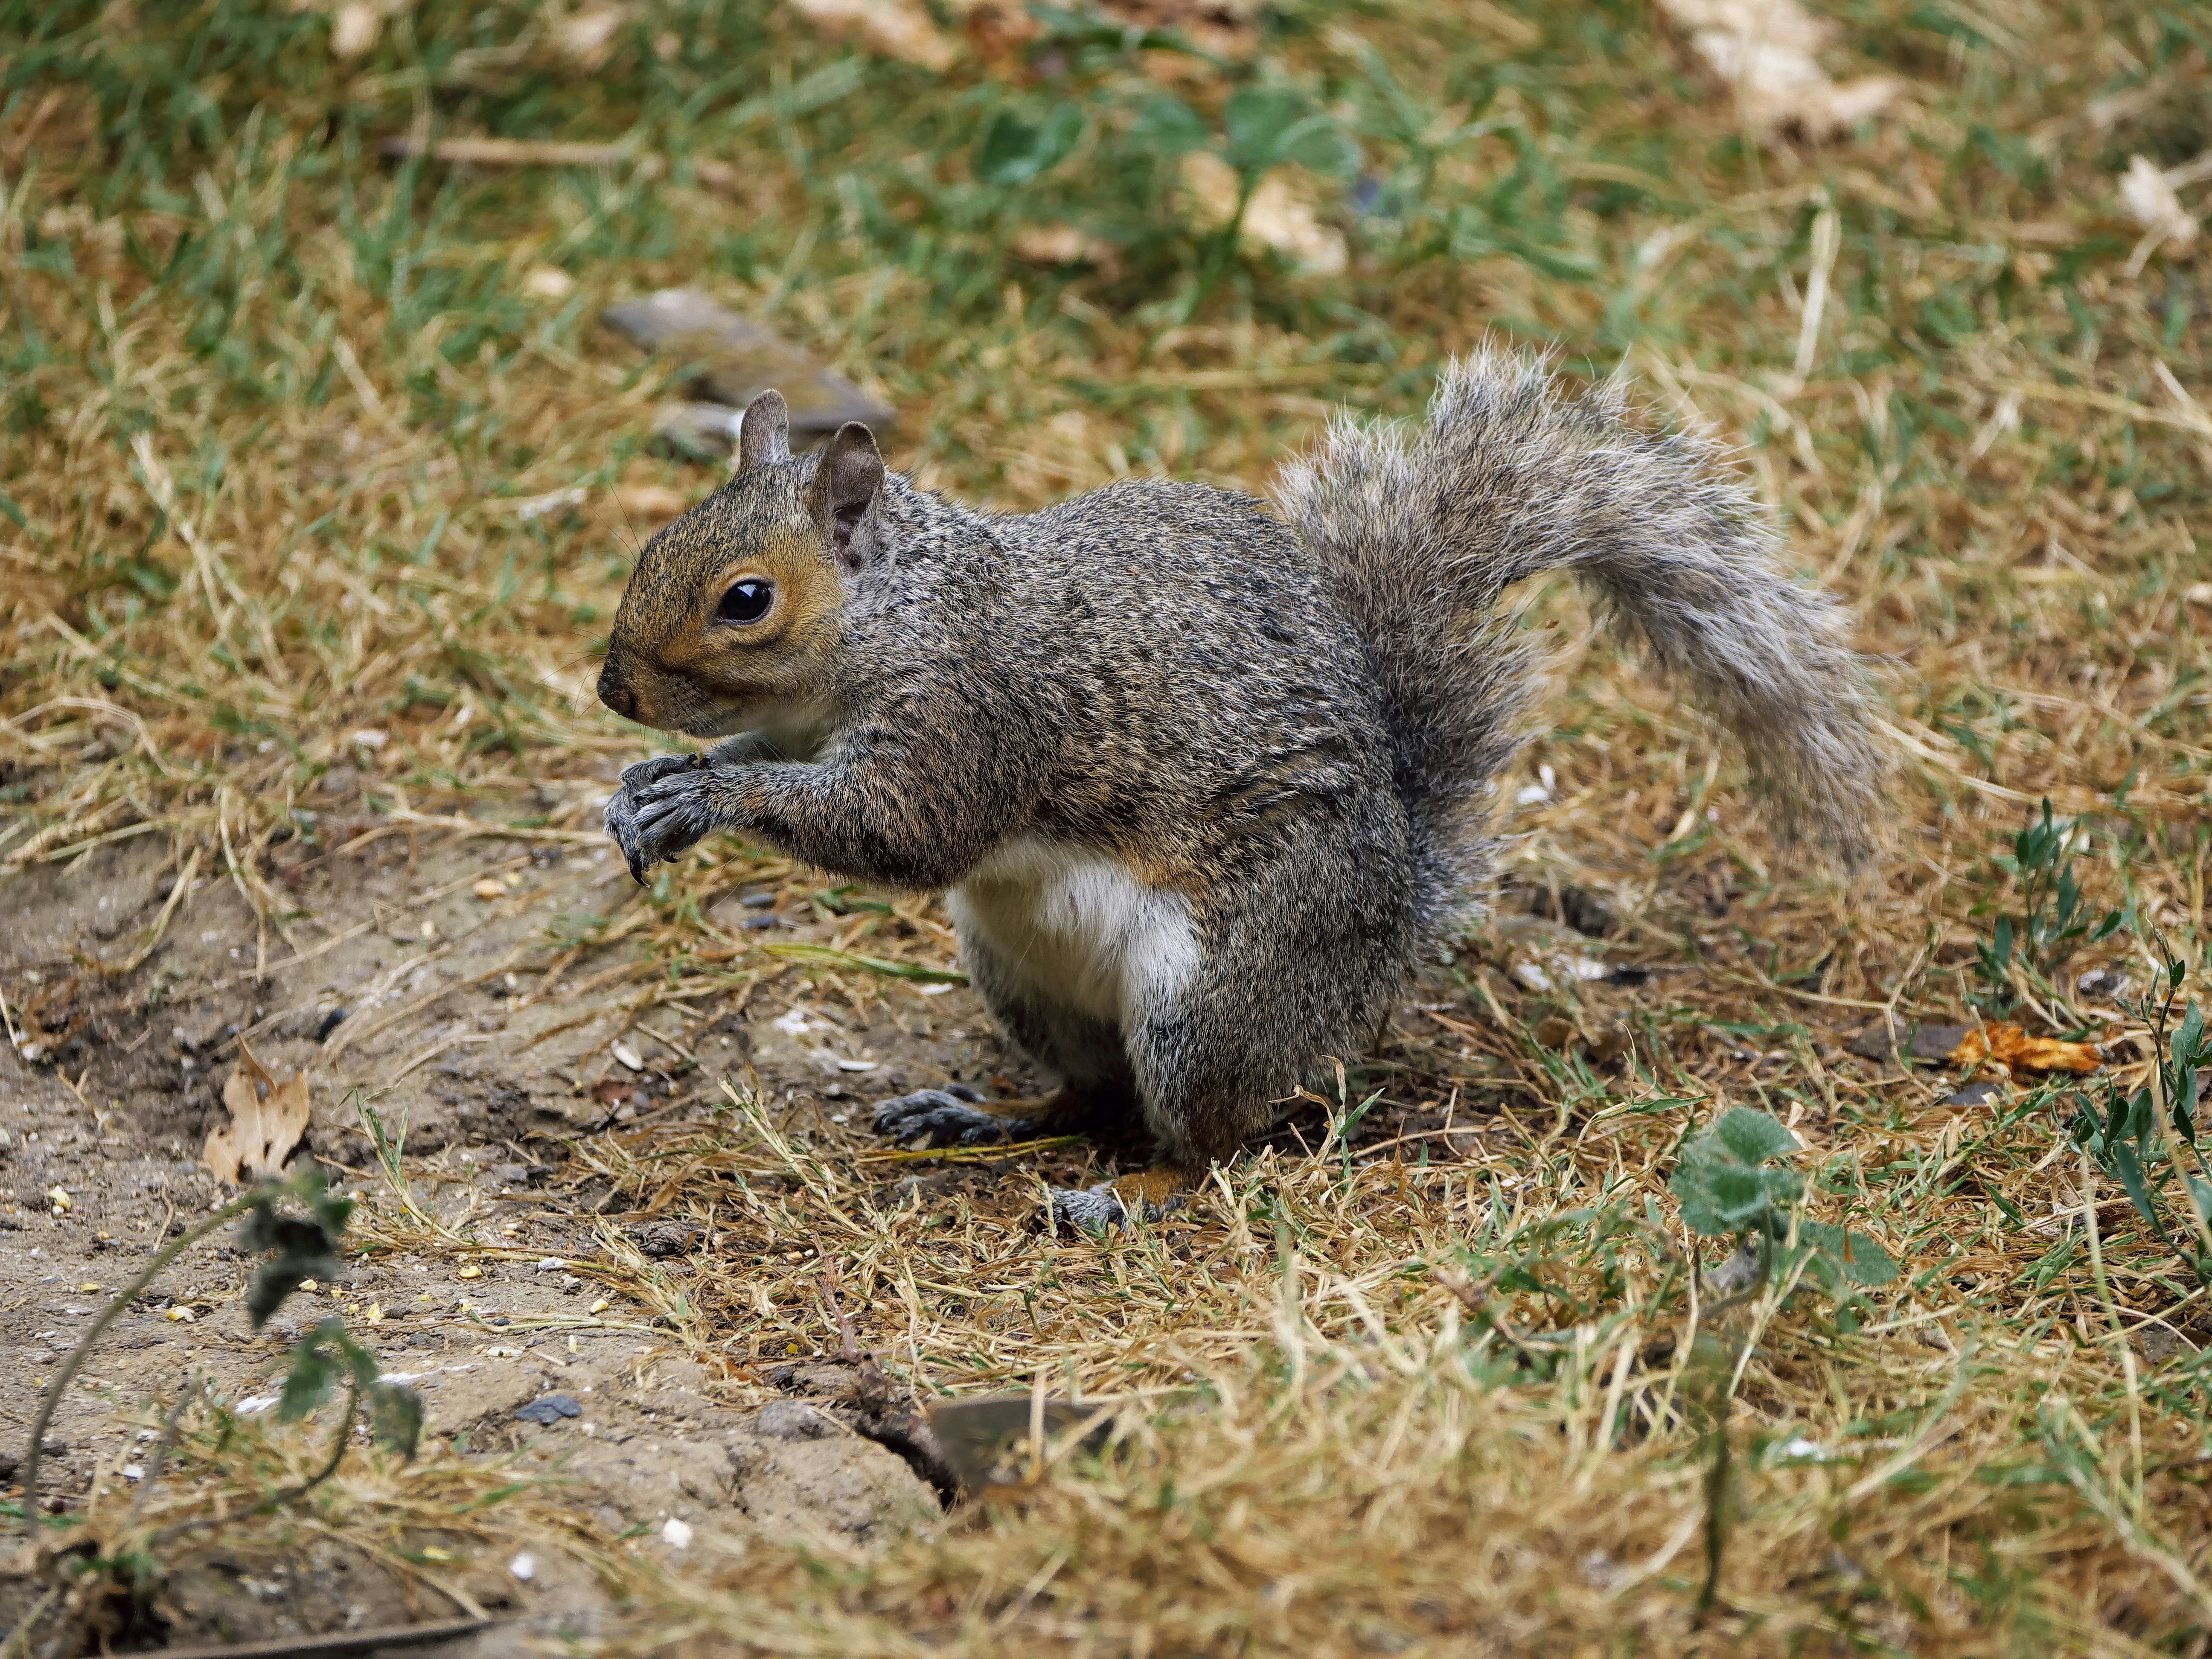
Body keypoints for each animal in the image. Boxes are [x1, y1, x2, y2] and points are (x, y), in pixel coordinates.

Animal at [597, 350, 1886, 1227]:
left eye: (746, 599)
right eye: (656, 542)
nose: (612, 687)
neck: (900, 615)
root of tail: (1391, 925)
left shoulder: (978, 715)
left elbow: (903, 832)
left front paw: (708, 799)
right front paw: (652, 788)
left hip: (1207, 998)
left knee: (1207, 1142)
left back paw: (1128, 1196)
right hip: (1021, 971)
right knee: (1091, 1094)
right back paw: (989, 1115)